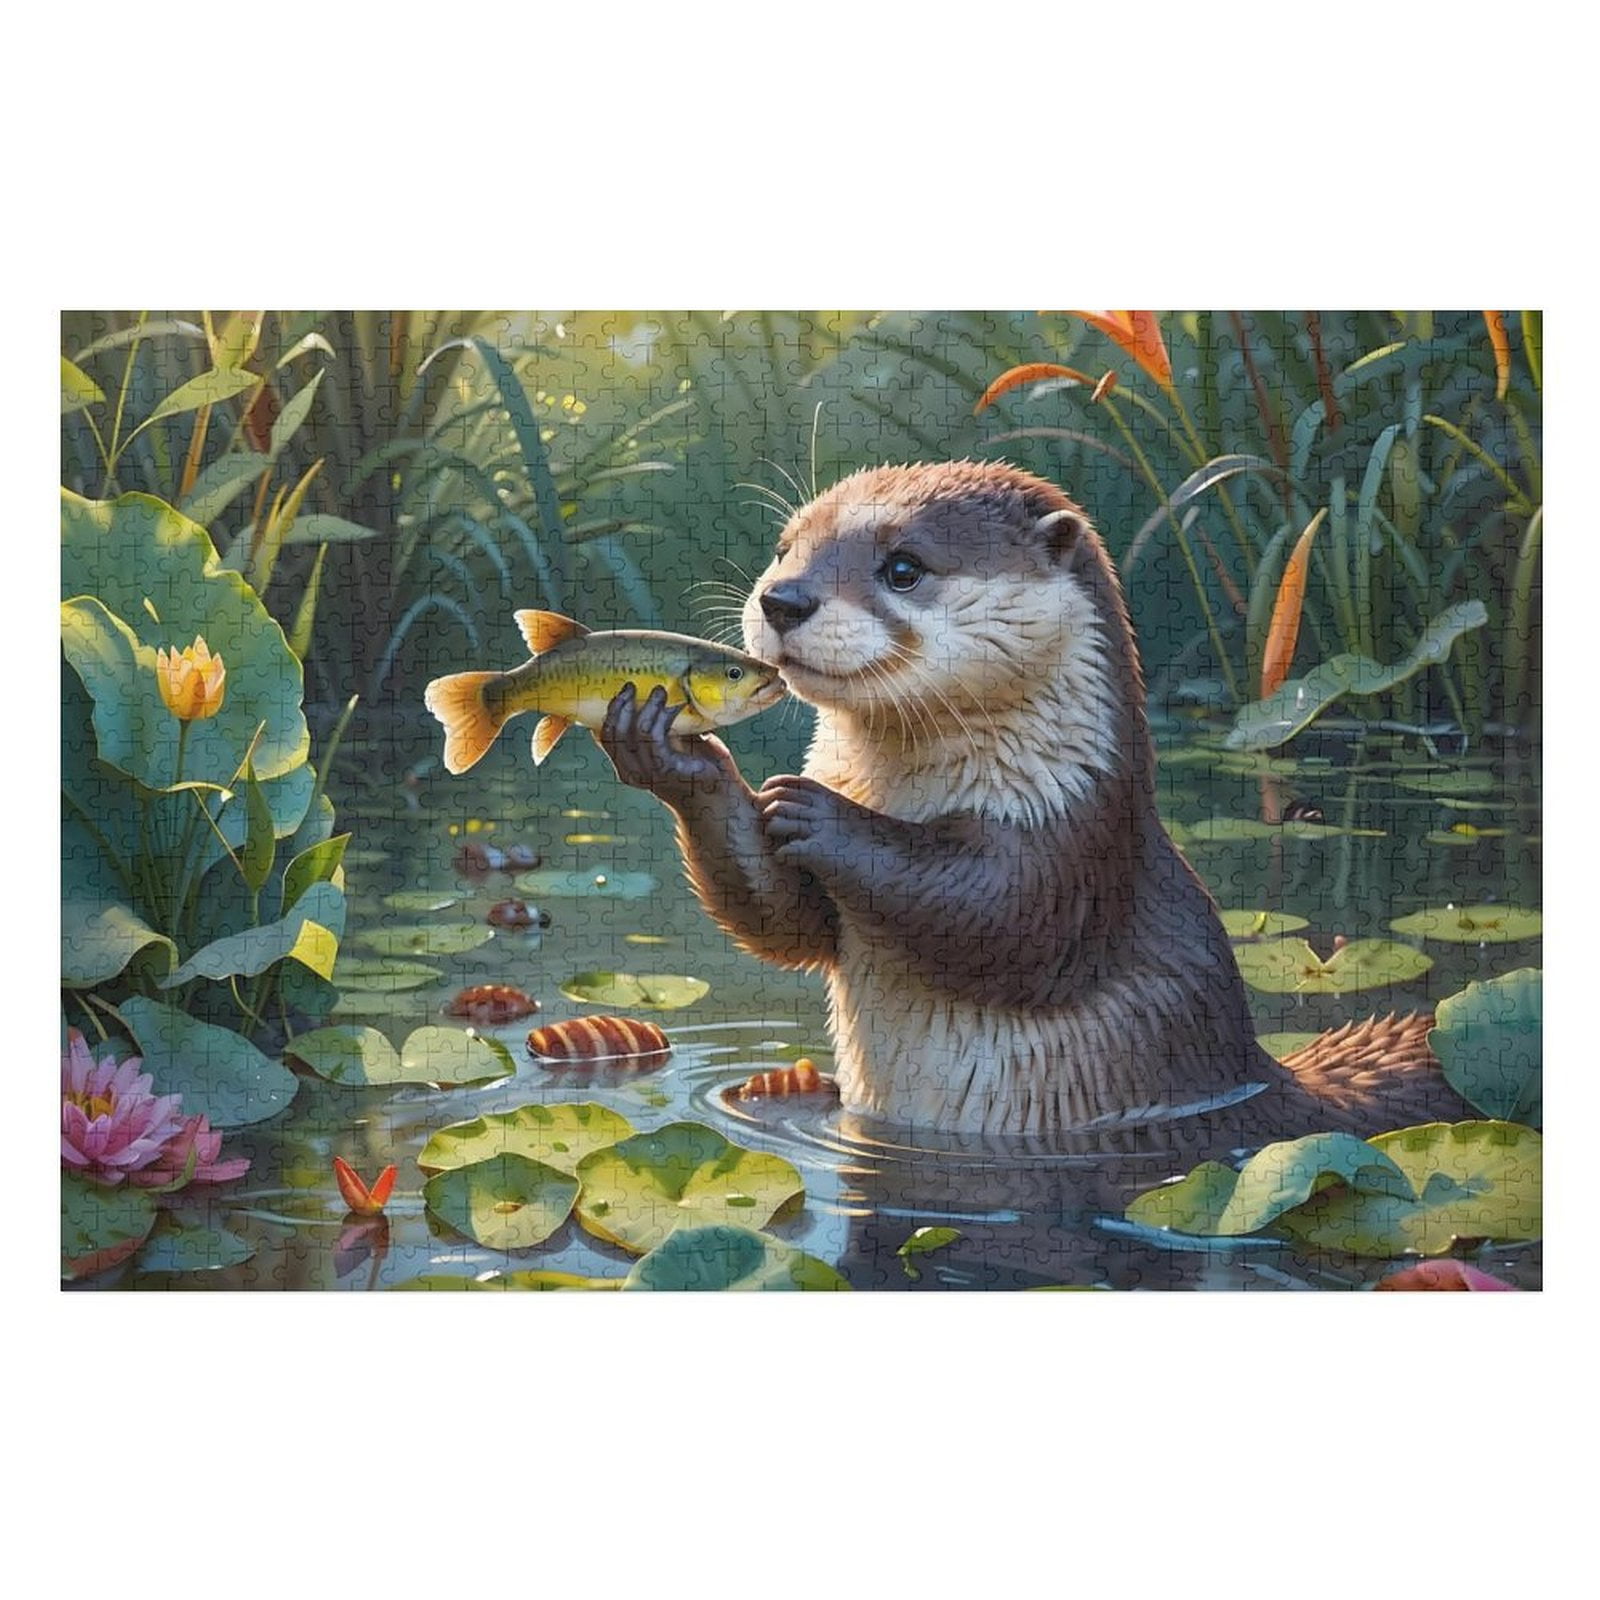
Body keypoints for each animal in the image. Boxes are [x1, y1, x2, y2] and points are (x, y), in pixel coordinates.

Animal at [598, 461, 1468, 1141]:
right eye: (786, 547)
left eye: (904, 567)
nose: (782, 599)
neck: (913, 798)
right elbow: (785, 924)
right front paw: (684, 760)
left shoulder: (1074, 832)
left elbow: (1008, 916)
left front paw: (817, 810)